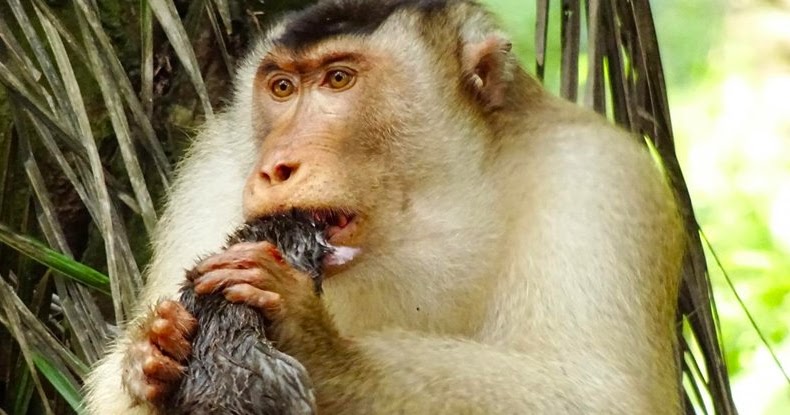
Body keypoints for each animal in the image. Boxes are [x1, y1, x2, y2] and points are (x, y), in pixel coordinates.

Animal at [83, 0, 685, 413]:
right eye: (282, 88)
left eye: (338, 79)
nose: (276, 167)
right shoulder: (212, 175)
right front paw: (149, 355)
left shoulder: (597, 182)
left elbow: (594, 395)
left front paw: (321, 346)